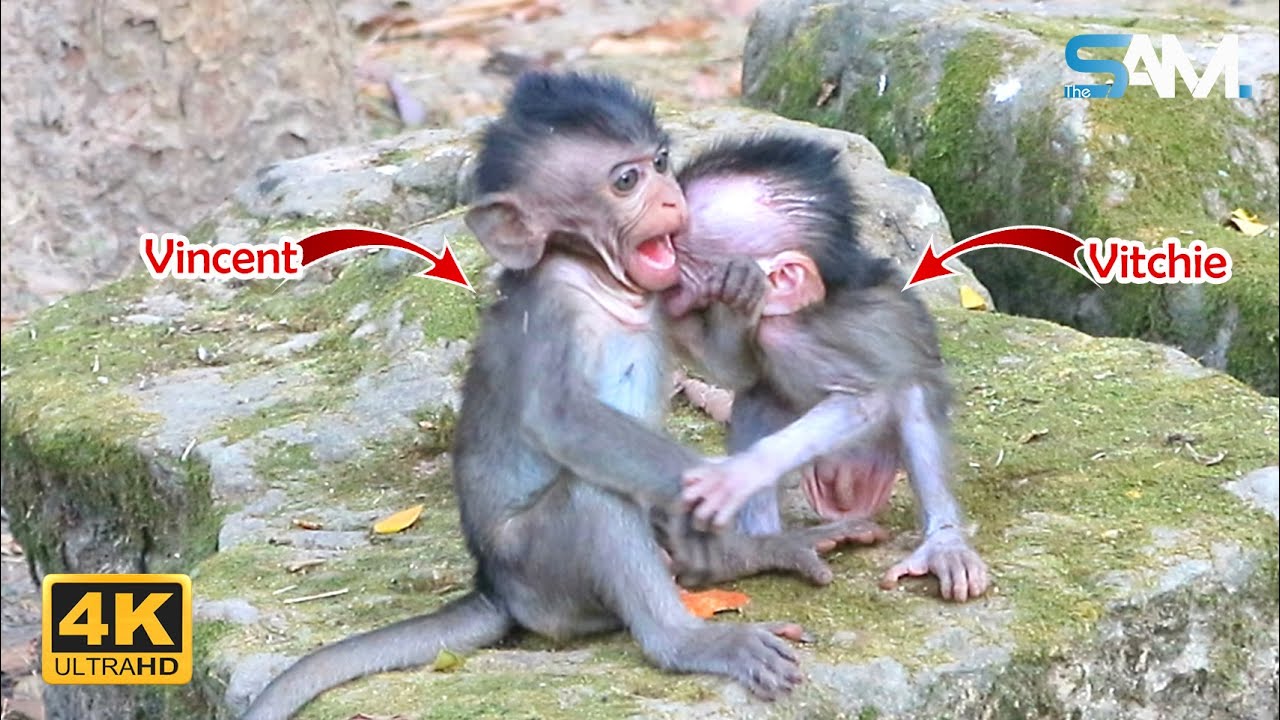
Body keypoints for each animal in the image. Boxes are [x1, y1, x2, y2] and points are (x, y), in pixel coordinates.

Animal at [240, 75, 887, 720]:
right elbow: (564, 420)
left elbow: (734, 368)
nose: (672, 200)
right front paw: (711, 489)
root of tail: (494, 587)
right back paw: (690, 640)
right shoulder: (552, 308)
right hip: (540, 573)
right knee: (593, 494)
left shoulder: (663, 292)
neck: (601, 279)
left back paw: (745, 555)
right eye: (626, 181)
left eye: (660, 163)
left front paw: (740, 287)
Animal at [663, 133, 990, 603]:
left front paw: (739, 474)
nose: (664, 290)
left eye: (680, 262)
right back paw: (764, 547)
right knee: (761, 394)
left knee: (911, 395)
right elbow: (741, 371)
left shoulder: (794, 336)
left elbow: (867, 401)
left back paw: (944, 542)